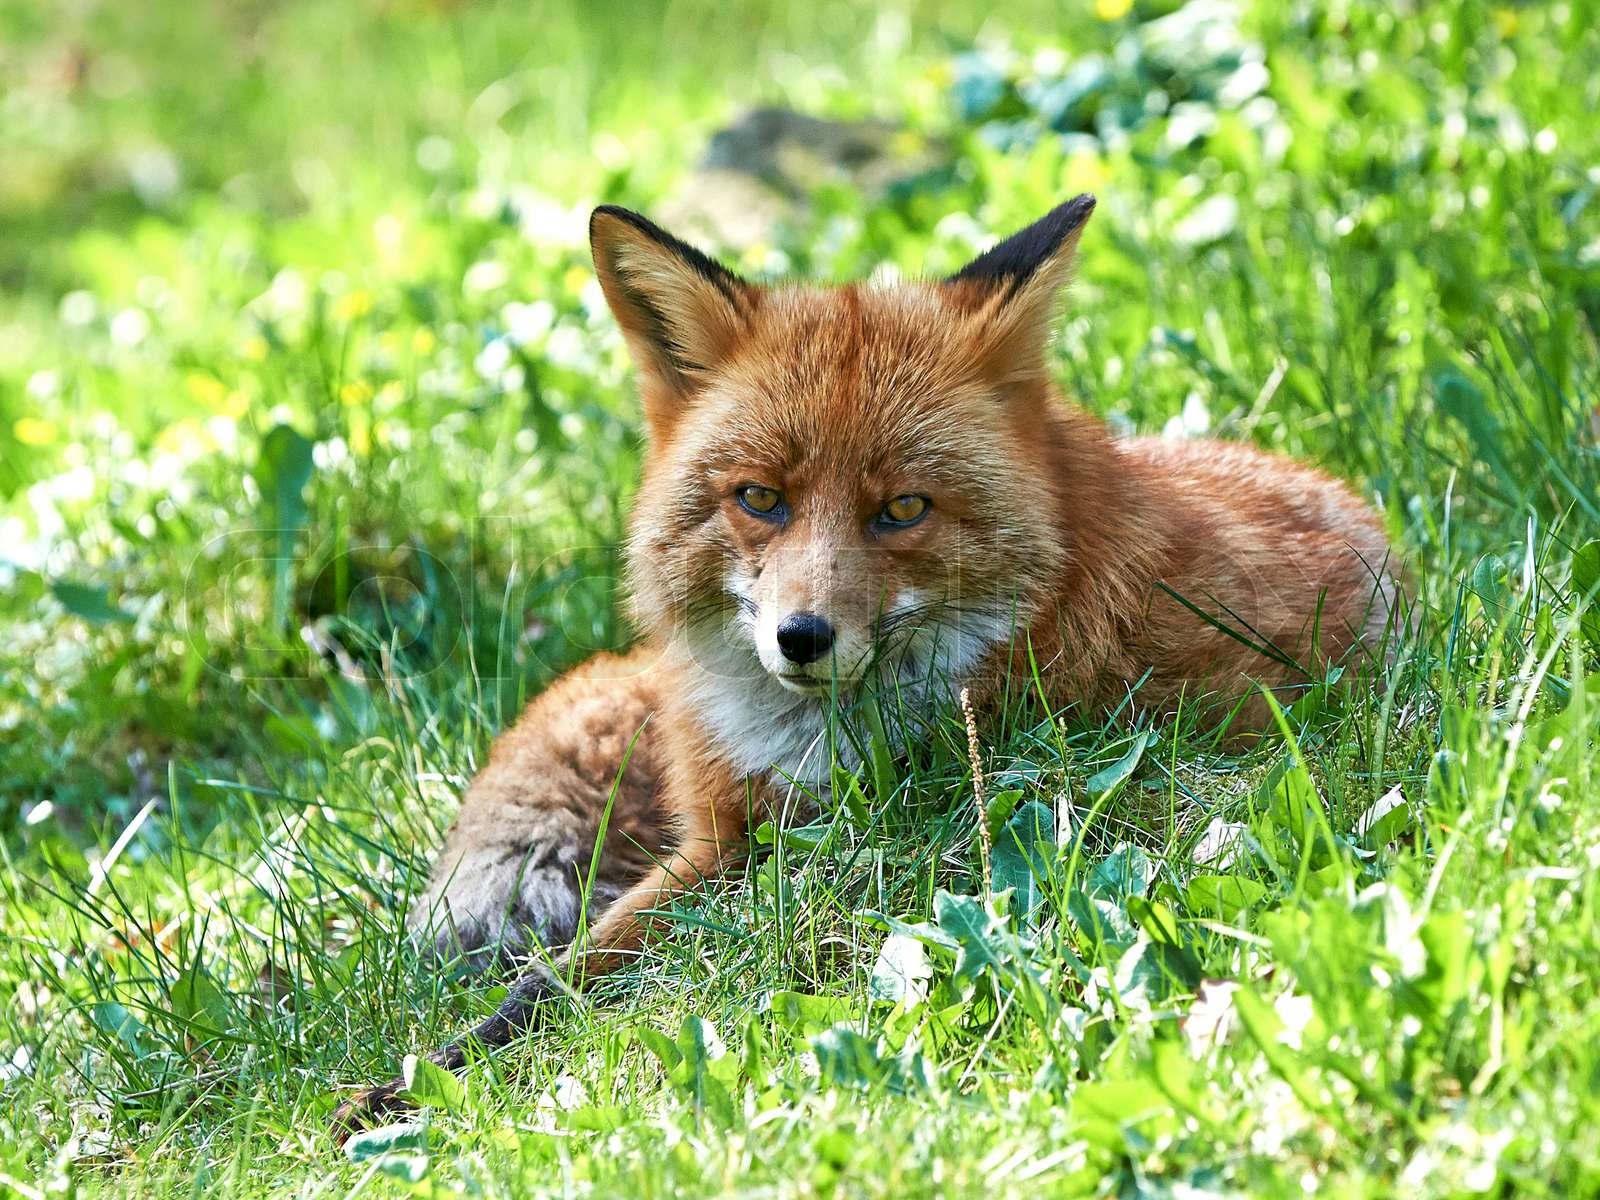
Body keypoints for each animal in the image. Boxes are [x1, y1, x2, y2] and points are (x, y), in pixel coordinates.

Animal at [330, 193, 1404, 1134]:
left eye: (903, 509)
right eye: (760, 497)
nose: (803, 638)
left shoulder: (843, 853)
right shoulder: (713, 843)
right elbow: (547, 981)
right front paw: (417, 1082)